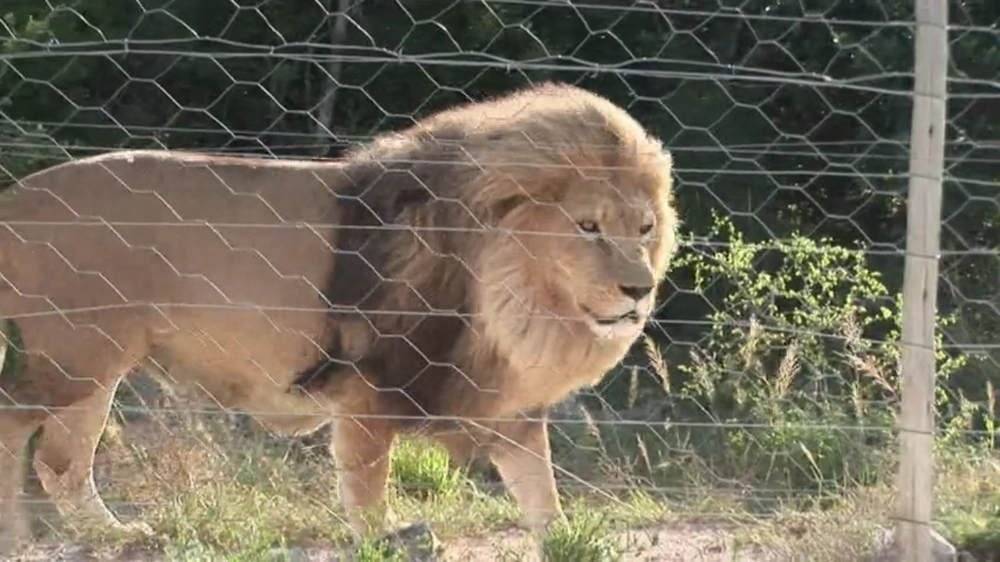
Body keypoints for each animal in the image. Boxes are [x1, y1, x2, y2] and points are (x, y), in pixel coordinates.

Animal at [0, 81, 678, 553]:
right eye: (587, 227)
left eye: (644, 229)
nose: (639, 290)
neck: (513, 302)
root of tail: (16, 196)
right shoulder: (367, 387)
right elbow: (367, 481)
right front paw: (383, 541)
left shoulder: (499, 397)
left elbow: (542, 491)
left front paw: (565, 540)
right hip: (71, 353)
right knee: (17, 429)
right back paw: (18, 538)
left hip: (93, 361)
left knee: (60, 462)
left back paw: (116, 536)